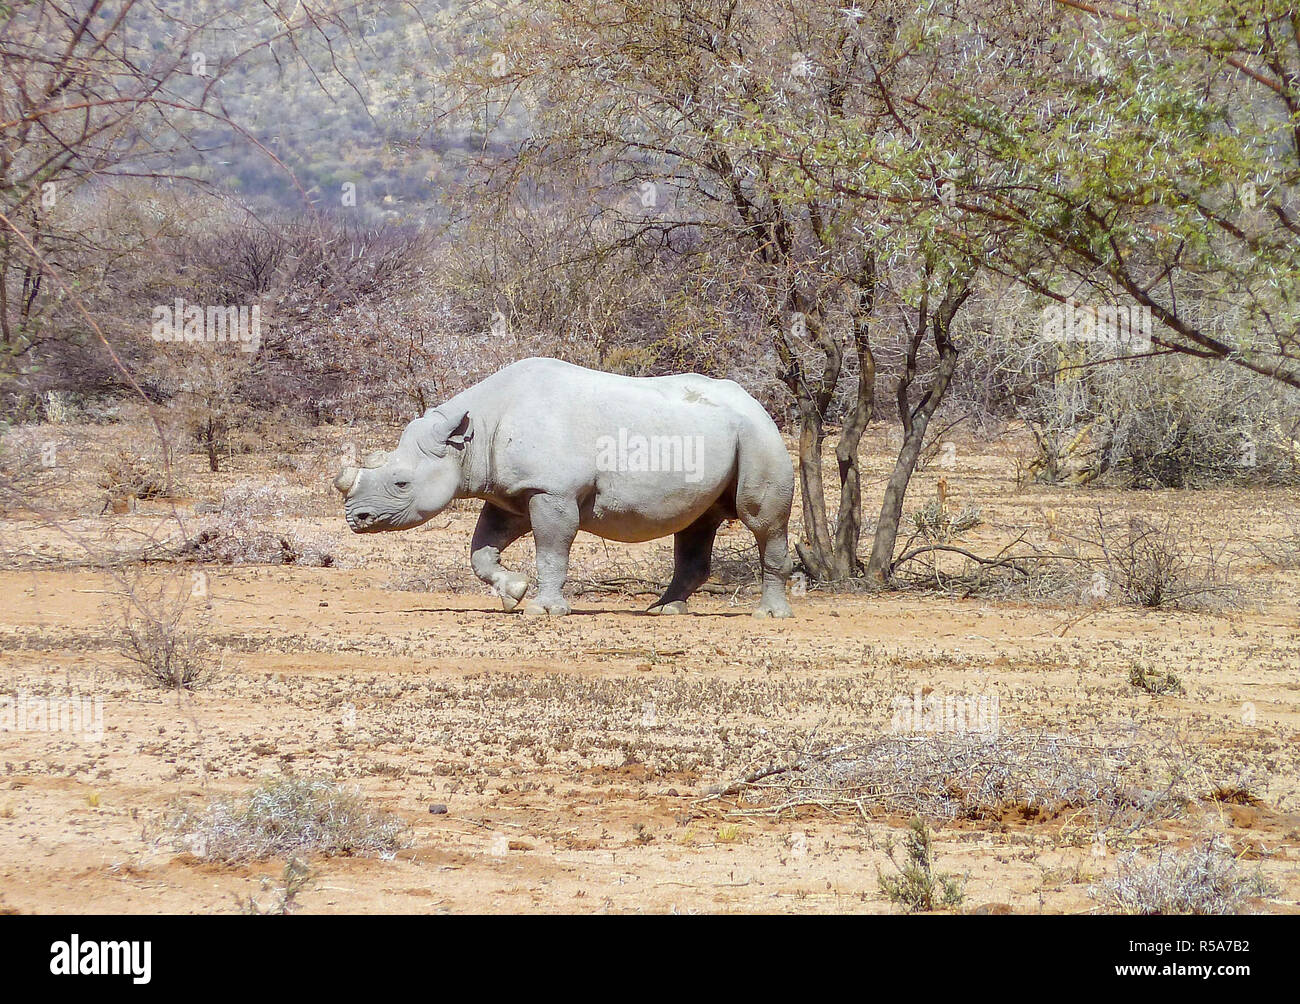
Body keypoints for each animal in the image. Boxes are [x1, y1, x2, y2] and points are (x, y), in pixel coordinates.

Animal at [334, 357, 795, 618]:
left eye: (401, 483)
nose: (355, 518)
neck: (470, 436)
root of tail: (755, 401)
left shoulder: (551, 491)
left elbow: (552, 549)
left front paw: (543, 610)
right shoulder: (510, 493)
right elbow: (481, 550)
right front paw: (512, 595)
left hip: (758, 435)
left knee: (762, 522)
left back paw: (769, 616)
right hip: (716, 434)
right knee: (696, 523)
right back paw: (665, 611)